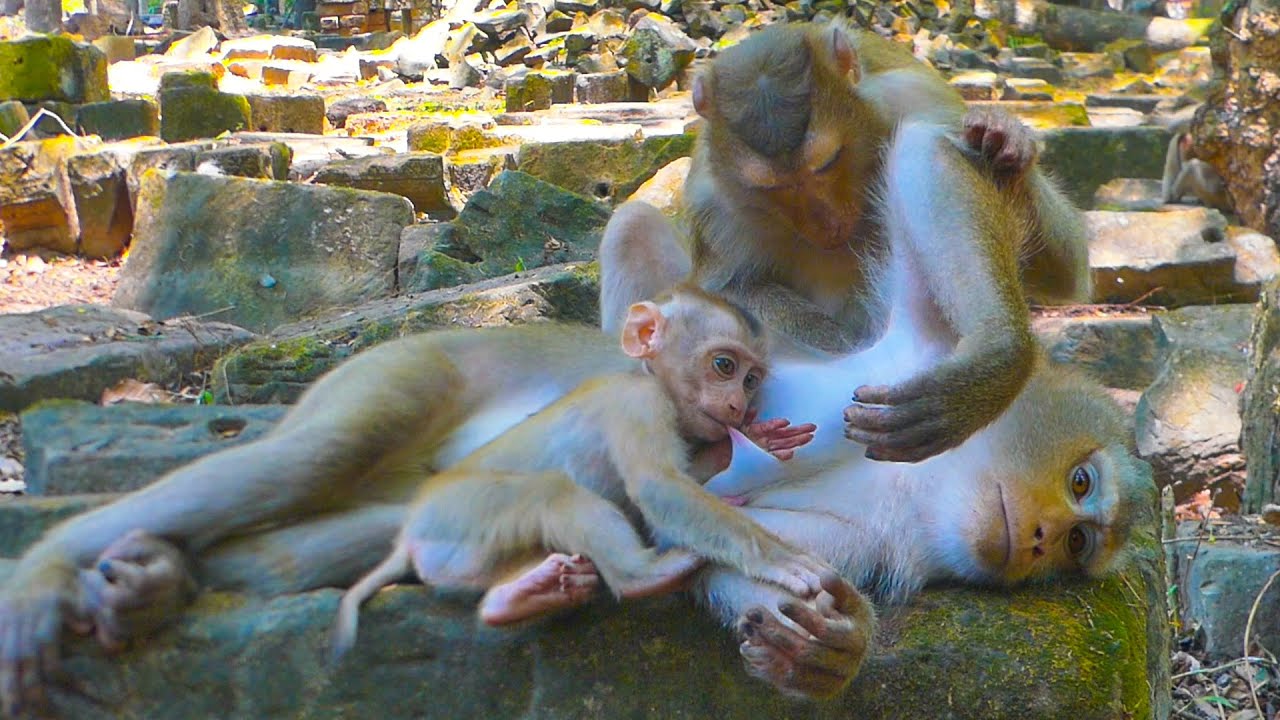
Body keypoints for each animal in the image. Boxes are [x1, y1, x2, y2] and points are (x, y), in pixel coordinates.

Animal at [329, 286, 829, 657]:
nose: (738, 405)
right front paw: (779, 558)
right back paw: (649, 574)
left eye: (751, 380)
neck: (644, 377)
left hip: (456, 553)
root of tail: (408, 539)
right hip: (457, 508)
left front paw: (748, 443)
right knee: (555, 493)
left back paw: (516, 598)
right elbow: (659, 488)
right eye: (725, 366)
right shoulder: (636, 403)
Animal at [599, 21, 1091, 464]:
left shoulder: (915, 97)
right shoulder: (714, 200)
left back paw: (994, 350)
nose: (827, 224)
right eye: (774, 187)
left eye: (826, 162)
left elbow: (1068, 276)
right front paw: (844, 346)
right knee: (632, 224)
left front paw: (1005, 138)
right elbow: (728, 289)